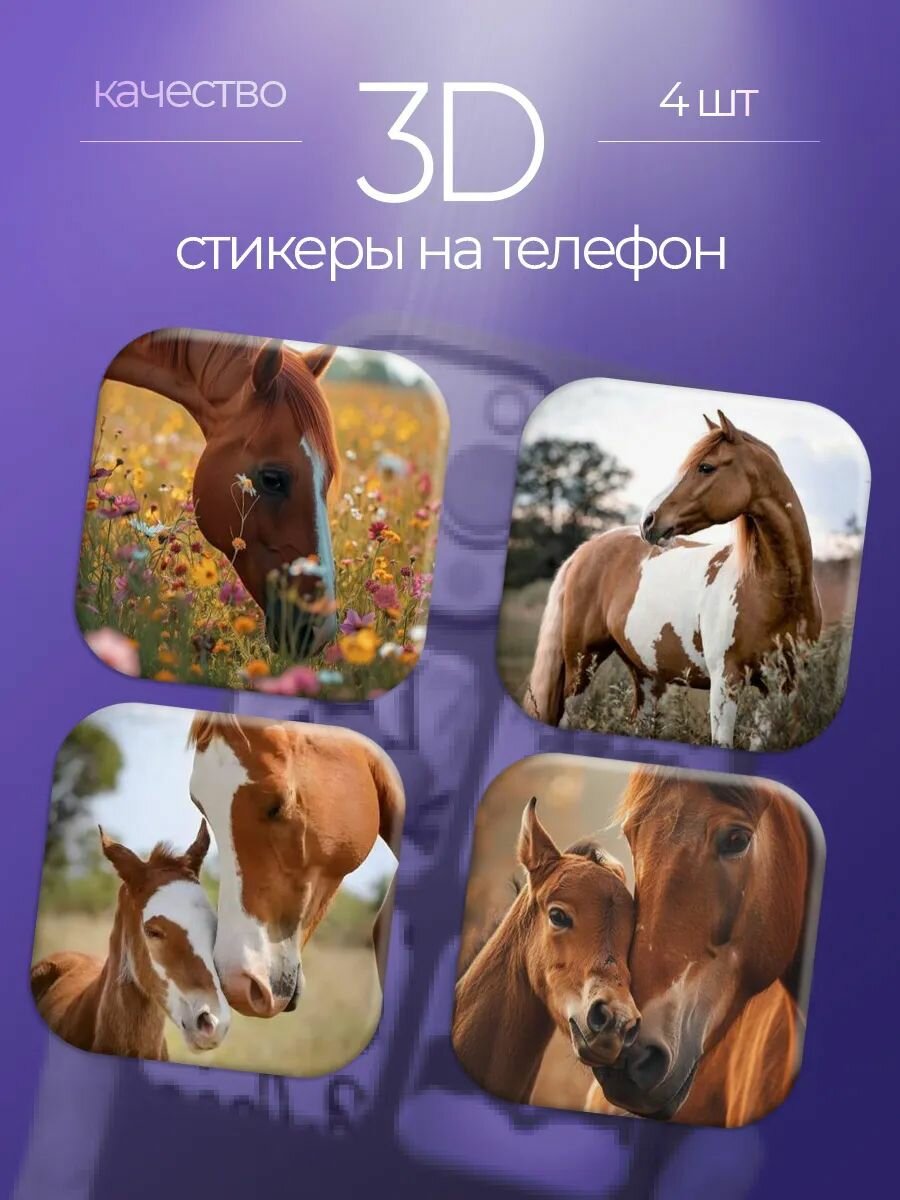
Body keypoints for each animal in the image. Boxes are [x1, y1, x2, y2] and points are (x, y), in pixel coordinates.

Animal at [525, 411, 822, 747]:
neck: (775, 592)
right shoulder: (726, 680)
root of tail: (585, 550)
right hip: (582, 666)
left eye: (705, 467)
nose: (648, 520)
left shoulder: (783, 684)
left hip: (646, 676)